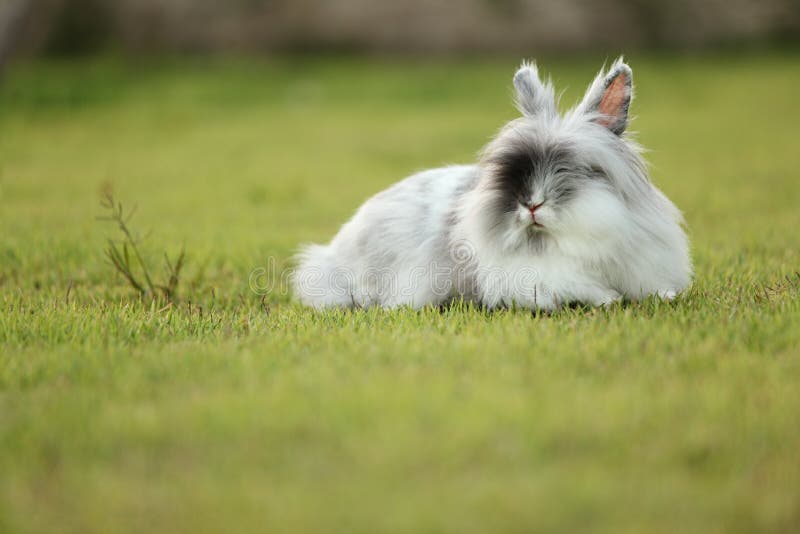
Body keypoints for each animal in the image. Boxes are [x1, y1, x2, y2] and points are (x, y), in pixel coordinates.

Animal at [293, 58, 692, 310]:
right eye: (511, 171)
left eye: (578, 170)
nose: (531, 204)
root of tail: (332, 251)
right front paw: (608, 299)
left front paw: (663, 297)